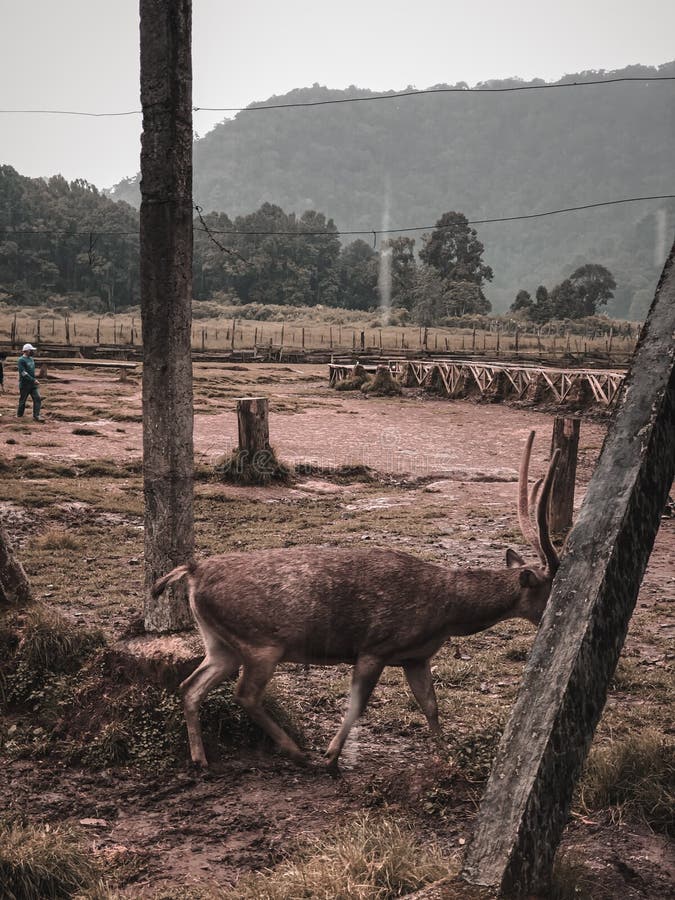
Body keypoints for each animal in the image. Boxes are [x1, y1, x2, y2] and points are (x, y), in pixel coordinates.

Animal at [152, 431, 560, 771]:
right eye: (550, 587)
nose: (550, 618)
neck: (445, 611)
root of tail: (194, 571)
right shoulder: (374, 647)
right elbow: (357, 706)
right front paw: (332, 757)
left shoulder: (415, 656)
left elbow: (431, 705)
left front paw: (445, 758)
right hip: (260, 642)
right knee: (245, 694)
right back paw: (298, 753)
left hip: (220, 643)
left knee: (190, 687)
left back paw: (200, 759)